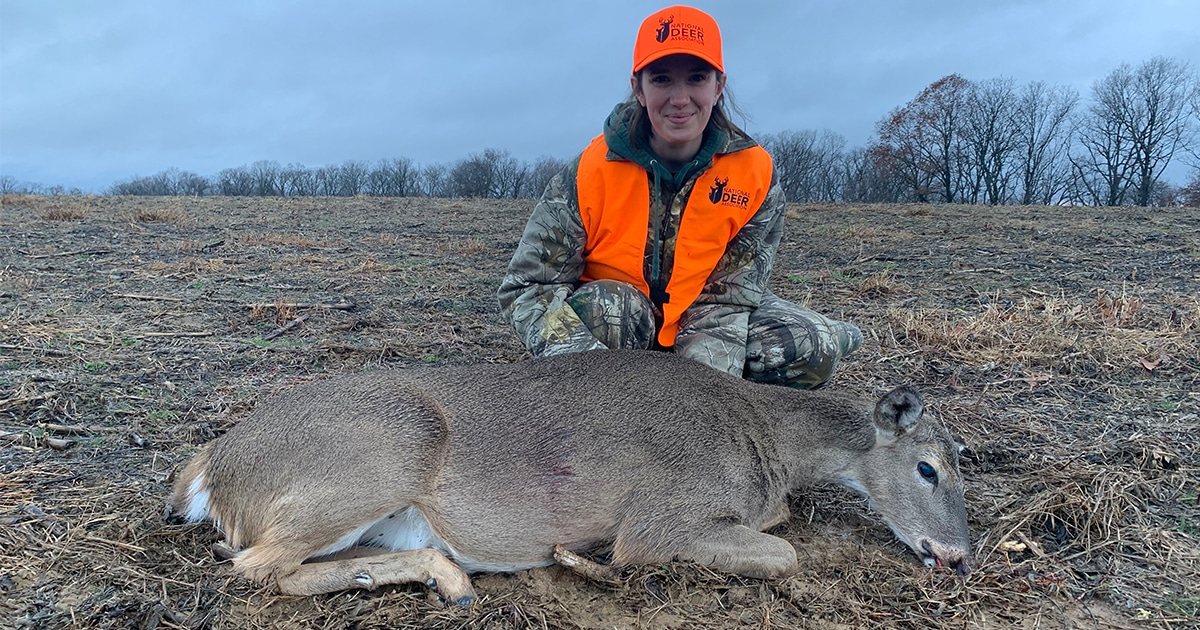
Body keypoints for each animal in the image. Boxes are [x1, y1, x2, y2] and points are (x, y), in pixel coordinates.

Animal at [168, 349, 970, 605]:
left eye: (963, 459)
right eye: (927, 466)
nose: (958, 554)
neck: (762, 439)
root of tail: (211, 465)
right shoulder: (662, 515)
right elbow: (784, 551)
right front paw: (591, 562)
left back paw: (446, 576)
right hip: (382, 453)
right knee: (257, 566)